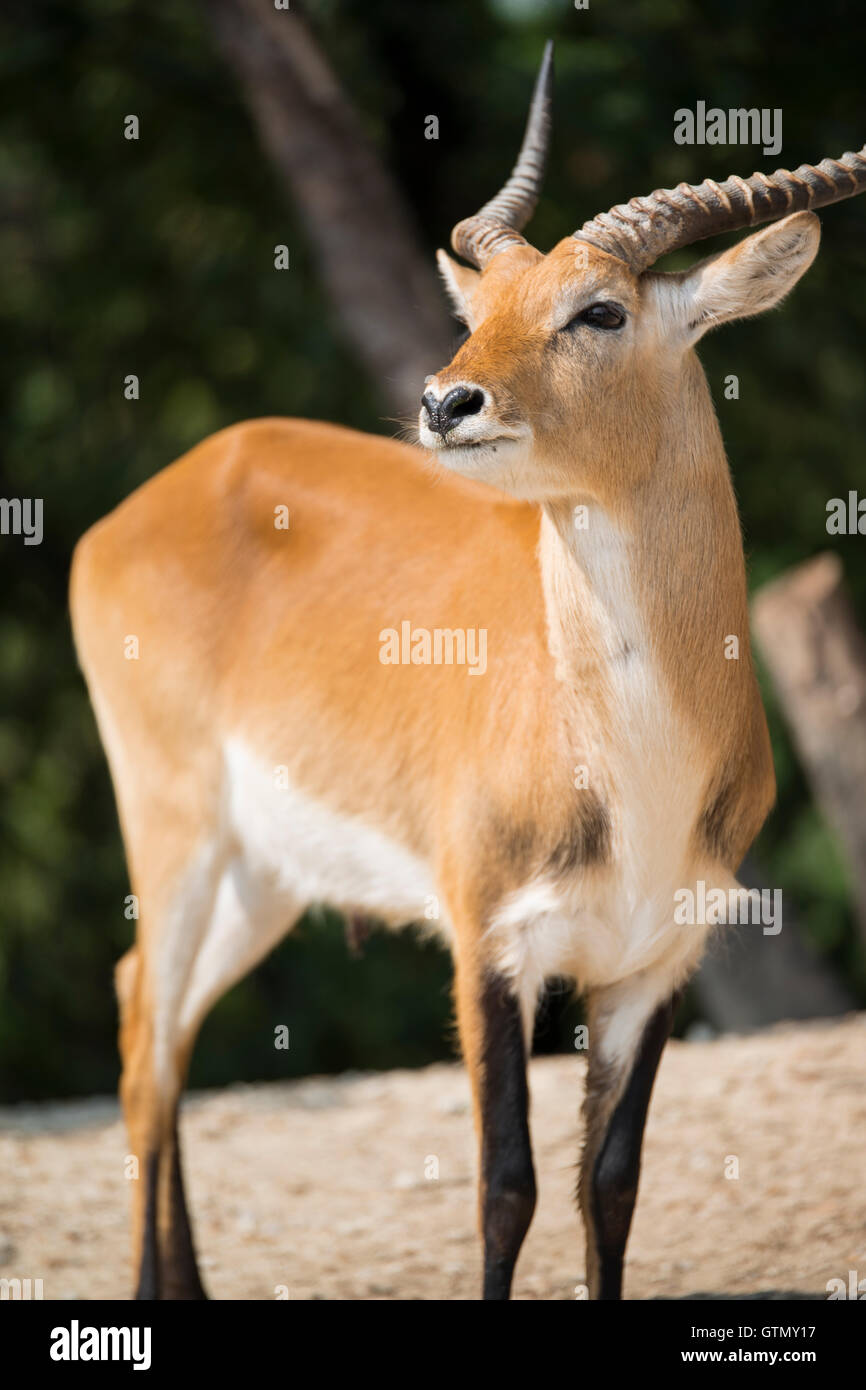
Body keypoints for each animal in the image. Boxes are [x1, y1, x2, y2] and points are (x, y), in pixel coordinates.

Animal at [70, 42, 866, 1300]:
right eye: (480, 309)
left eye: (598, 310)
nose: (445, 401)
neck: (634, 770)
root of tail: (182, 478)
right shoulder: (486, 943)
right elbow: (505, 1187)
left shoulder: (651, 965)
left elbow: (608, 1188)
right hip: (174, 829)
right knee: (147, 1035)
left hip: (263, 871)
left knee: (155, 1011)